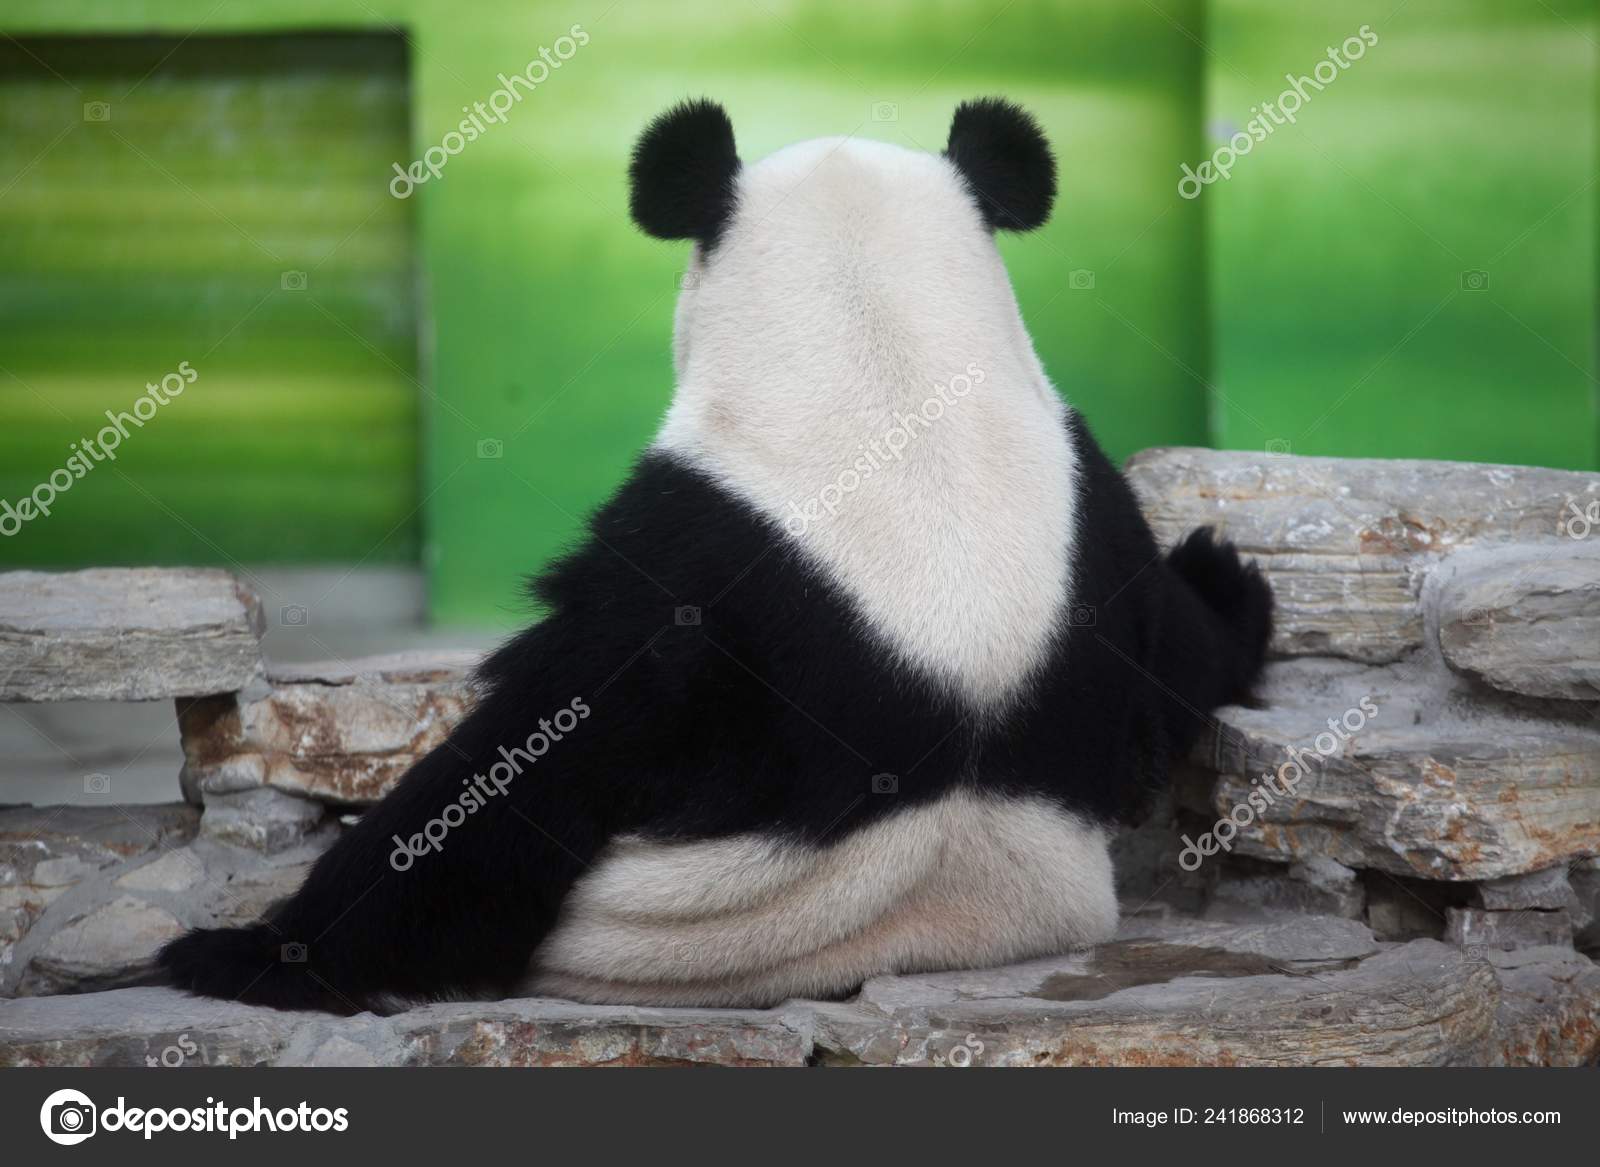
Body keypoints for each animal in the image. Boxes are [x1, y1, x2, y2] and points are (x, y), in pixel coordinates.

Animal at [159, 97, 1272, 1013]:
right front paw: (1227, 577)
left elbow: (506, 781)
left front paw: (247, 953)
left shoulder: (677, 572)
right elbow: (1180, 652)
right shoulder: (1087, 501)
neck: (891, 383)